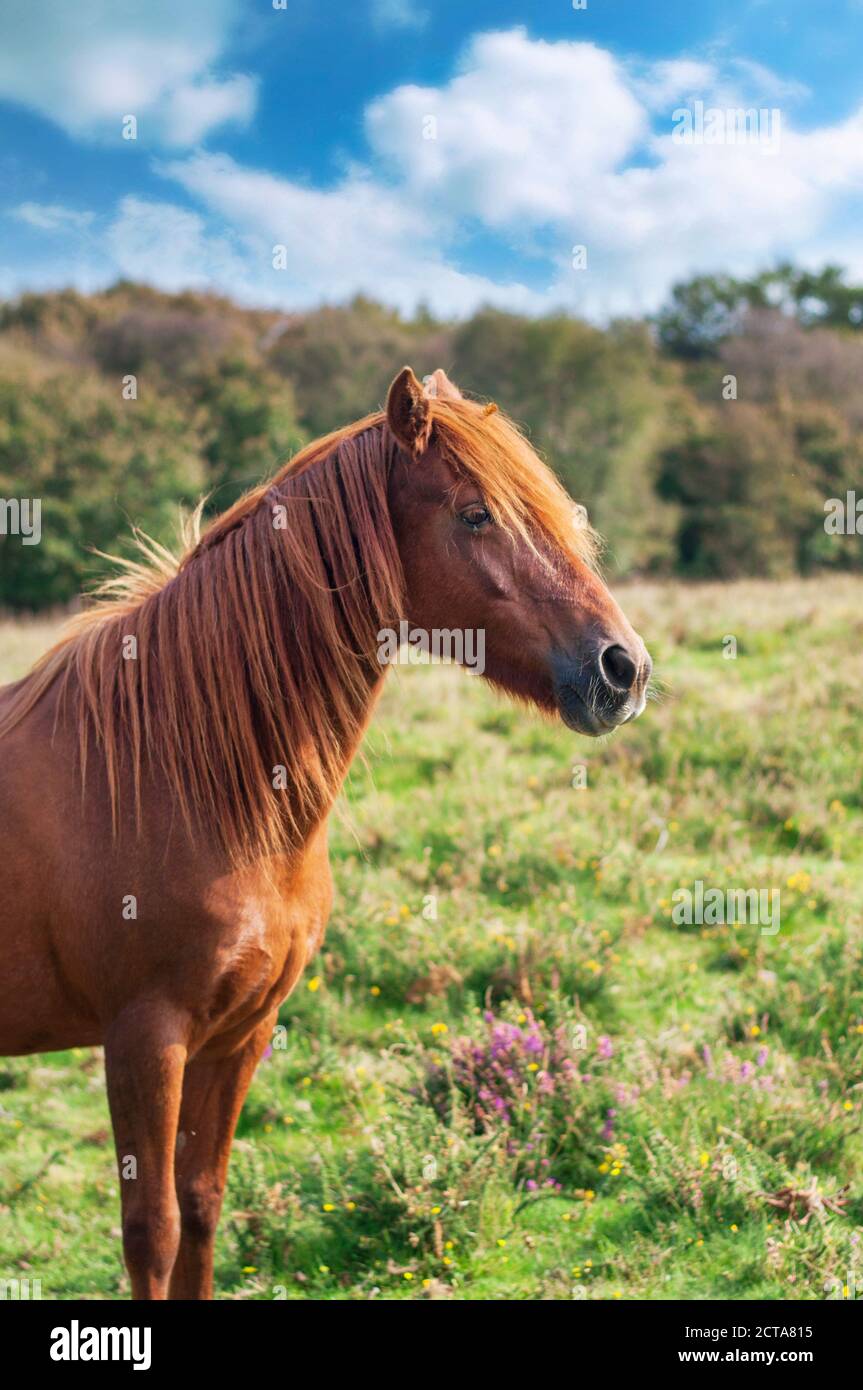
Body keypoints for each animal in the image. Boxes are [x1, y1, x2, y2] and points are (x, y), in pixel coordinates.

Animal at [0, 366, 651, 1299]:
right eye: (476, 514)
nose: (622, 669)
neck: (174, 775)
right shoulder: (144, 1039)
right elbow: (152, 1232)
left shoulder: (239, 1034)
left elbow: (201, 1209)